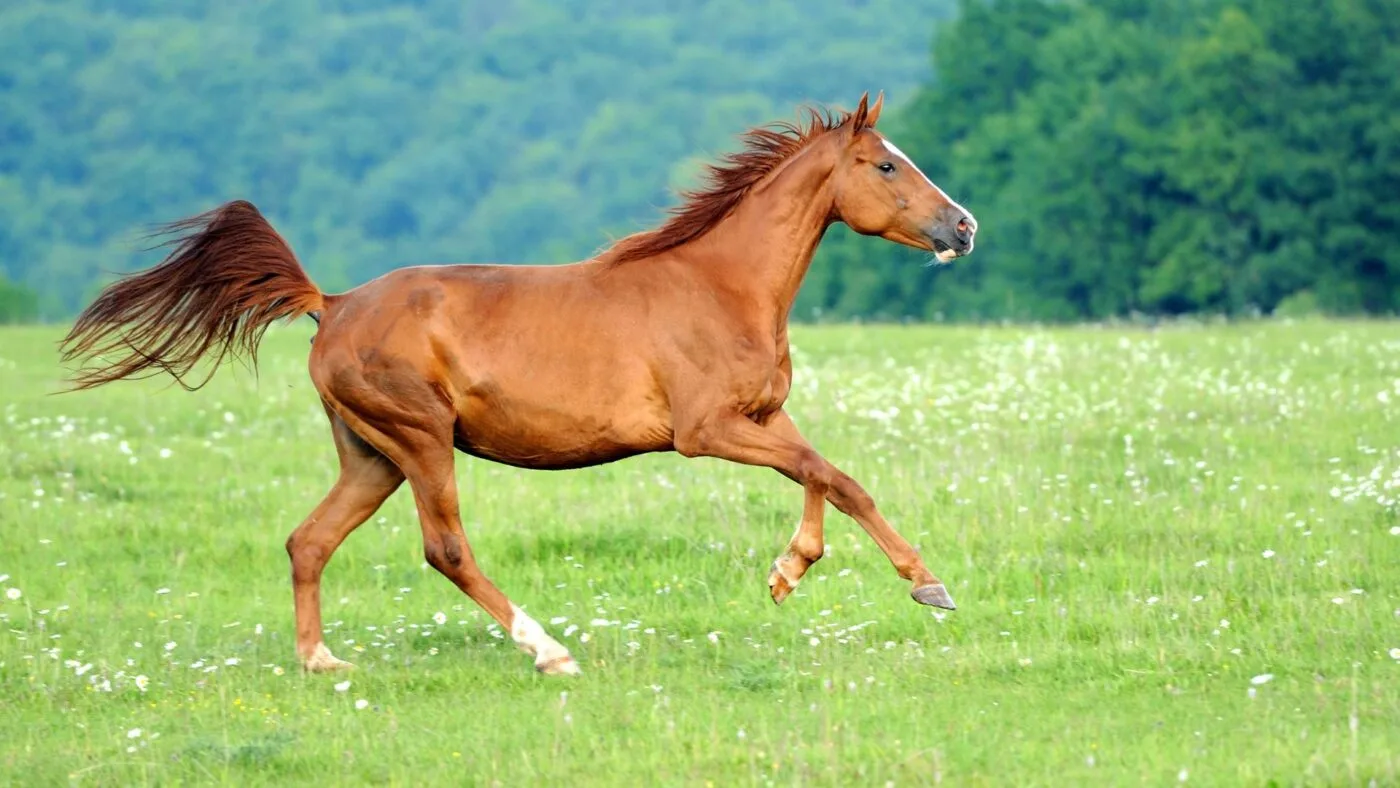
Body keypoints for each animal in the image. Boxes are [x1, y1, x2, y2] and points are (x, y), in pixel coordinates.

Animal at [58, 92, 977, 676]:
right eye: (885, 166)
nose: (963, 227)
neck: (719, 283)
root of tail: (333, 303)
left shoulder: (763, 415)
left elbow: (833, 477)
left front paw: (804, 573)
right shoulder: (706, 431)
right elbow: (827, 472)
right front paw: (922, 585)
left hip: (371, 455)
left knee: (308, 541)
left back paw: (321, 661)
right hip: (421, 441)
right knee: (446, 549)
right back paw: (549, 650)